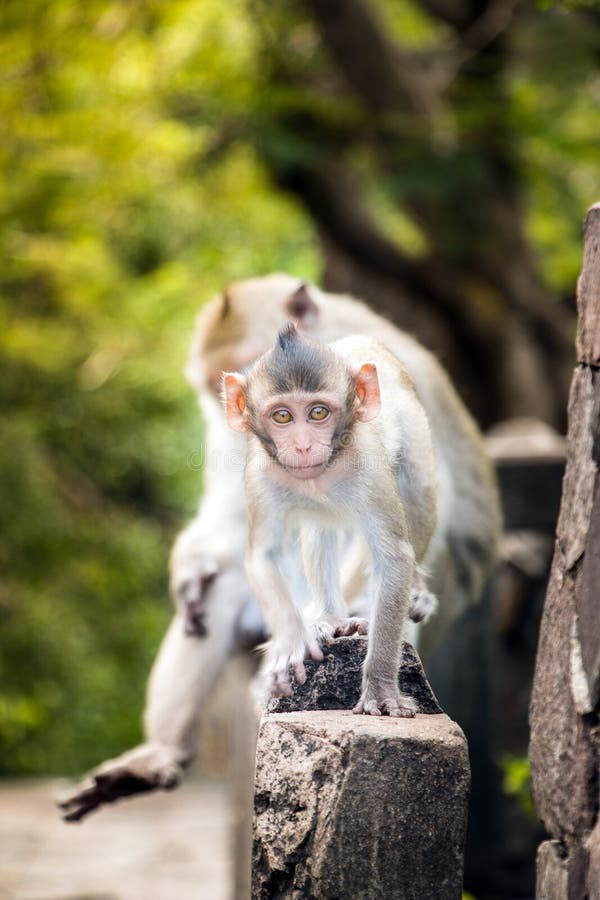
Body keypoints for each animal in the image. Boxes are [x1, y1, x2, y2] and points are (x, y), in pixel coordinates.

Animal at [223, 325, 437, 715]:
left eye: (318, 412)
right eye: (282, 417)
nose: (304, 445)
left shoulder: (368, 465)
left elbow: (394, 557)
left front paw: (381, 688)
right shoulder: (260, 474)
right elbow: (263, 556)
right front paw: (291, 642)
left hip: (417, 431)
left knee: (419, 494)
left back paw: (415, 591)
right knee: (319, 528)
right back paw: (329, 619)